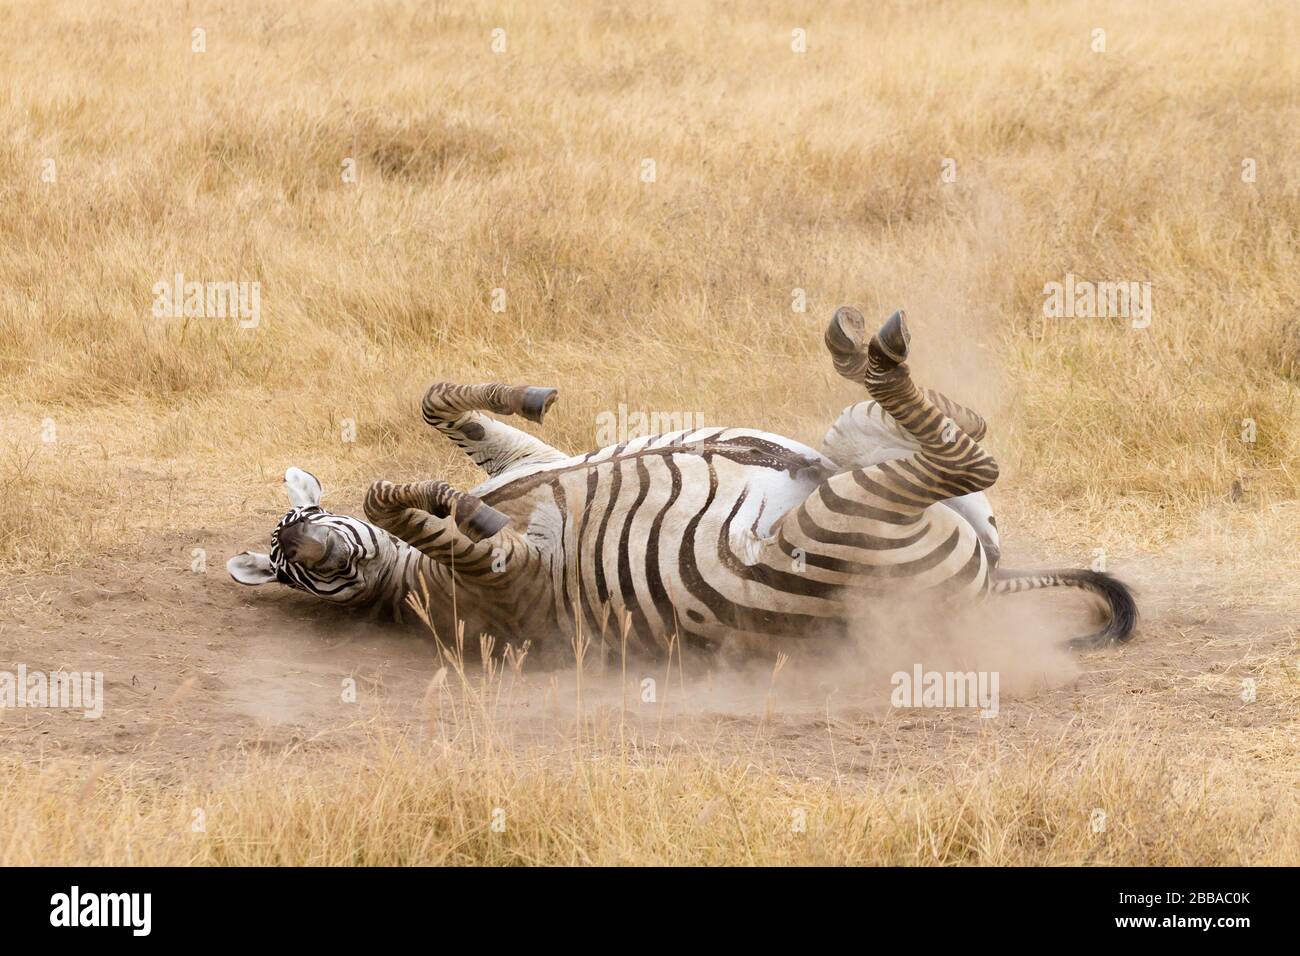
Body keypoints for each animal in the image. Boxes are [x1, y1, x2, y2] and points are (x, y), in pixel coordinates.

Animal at [229, 308, 1136, 652]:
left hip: (854, 451)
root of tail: (983, 585)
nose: (314, 548)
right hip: (841, 521)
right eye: (292, 570)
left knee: (962, 438)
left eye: (299, 536)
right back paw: (874, 351)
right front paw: (455, 509)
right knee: (967, 457)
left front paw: (523, 401)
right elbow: (409, 502)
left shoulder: (531, 464)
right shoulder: (513, 593)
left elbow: (439, 406)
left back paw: (860, 350)